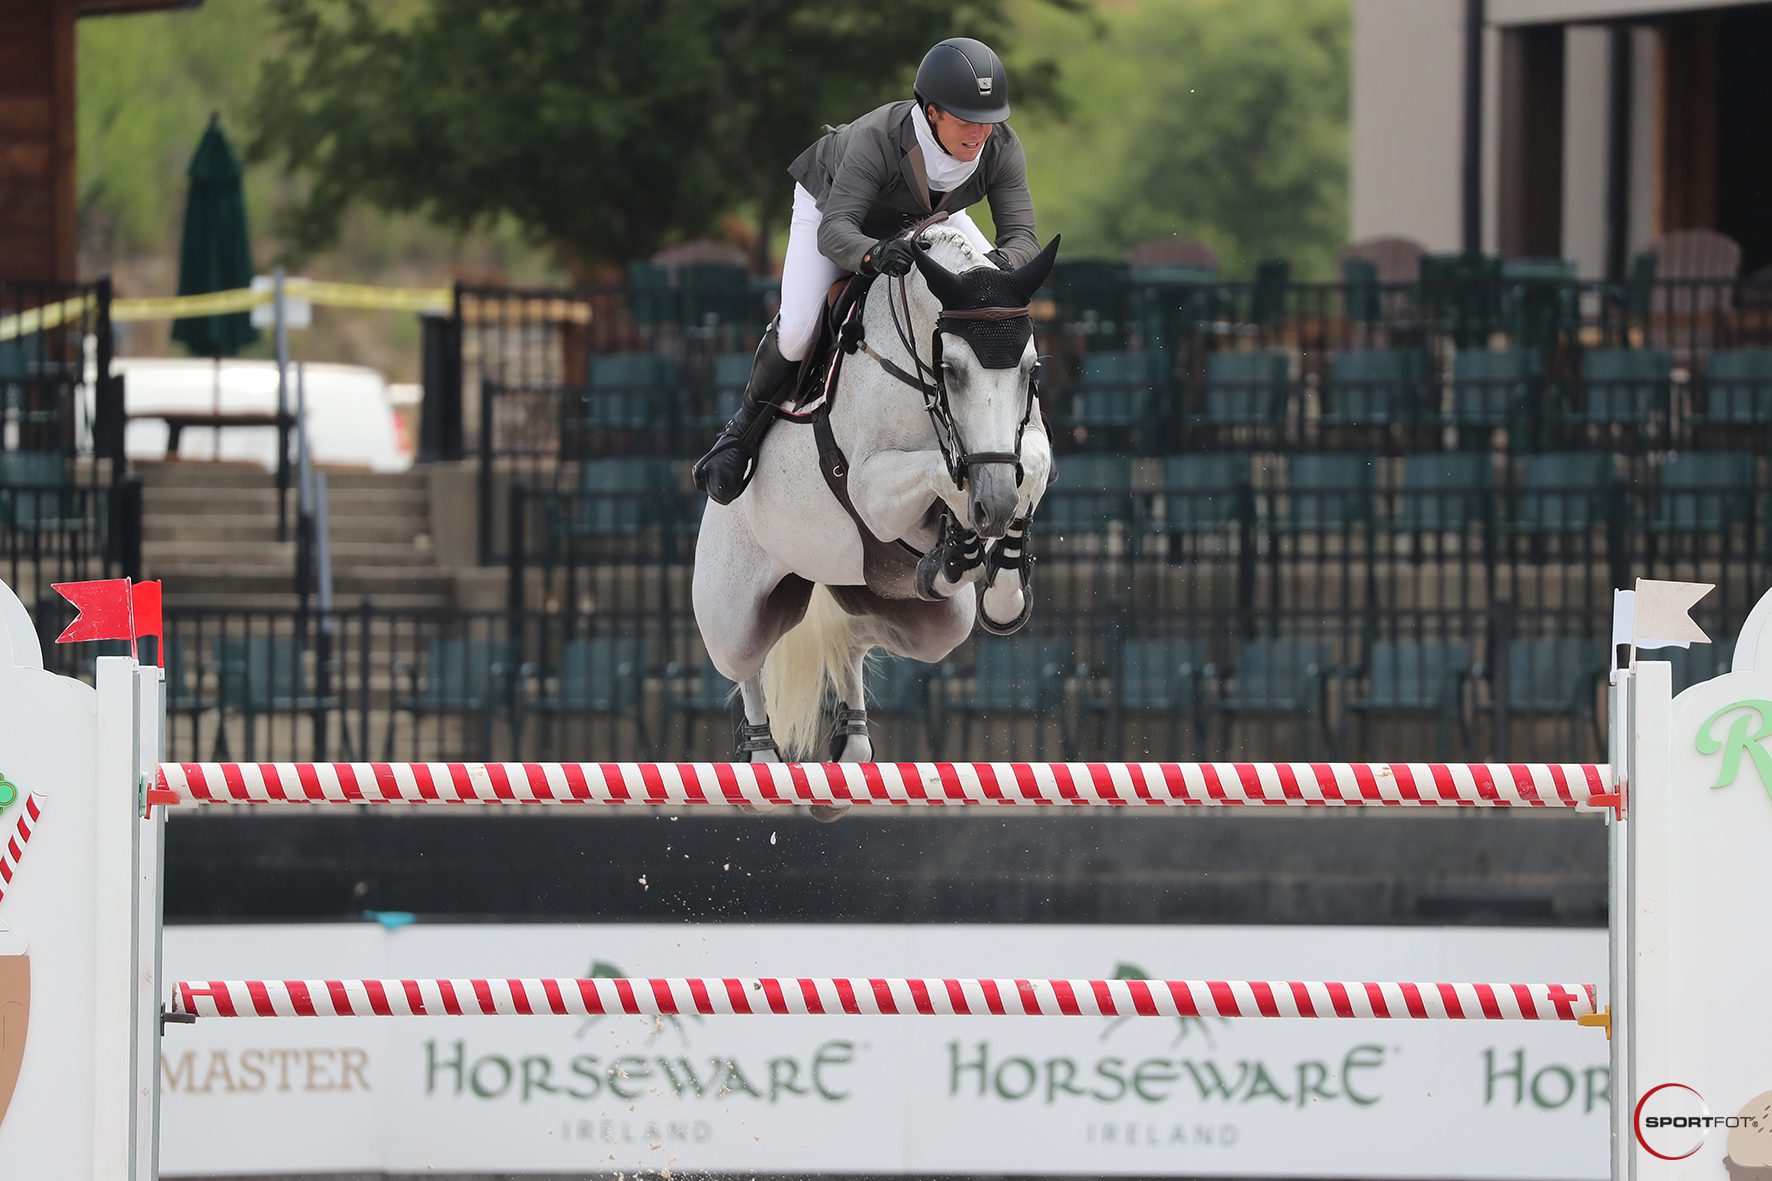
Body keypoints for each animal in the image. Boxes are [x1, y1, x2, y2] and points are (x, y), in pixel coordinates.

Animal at [691, 224, 1060, 789]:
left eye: (1030, 368)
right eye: (951, 370)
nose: (993, 506)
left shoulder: (1022, 443)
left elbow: (1029, 468)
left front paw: (998, 586)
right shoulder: (872, 487)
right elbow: (941, 471)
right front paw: (962, 541)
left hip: (914, 612)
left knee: (853, 636)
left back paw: (852, 743)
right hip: (730, 613)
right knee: (744, 666)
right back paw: (762, 759)